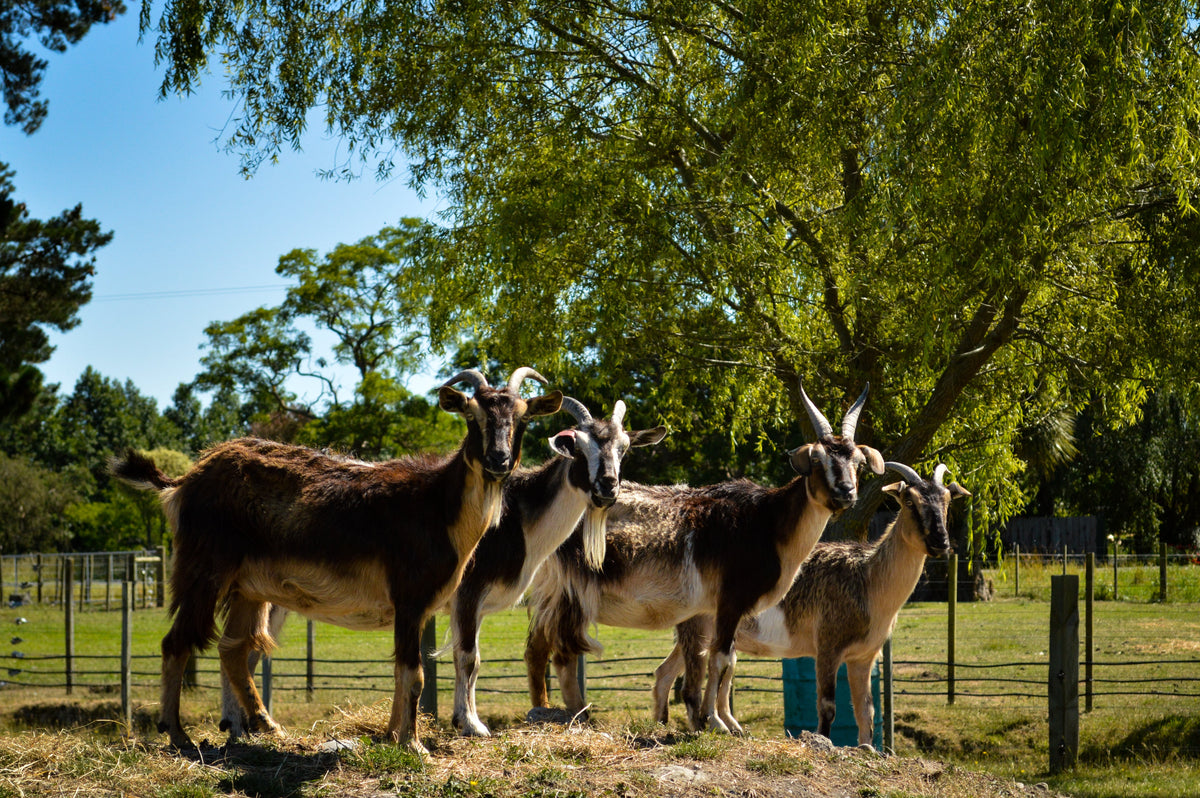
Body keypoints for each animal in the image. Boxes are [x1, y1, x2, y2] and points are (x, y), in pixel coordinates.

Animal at [112, 367, 562, 753]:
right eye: (472, 416)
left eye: (521, 418)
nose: (498, 460)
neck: (437, 505)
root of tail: (182, 481)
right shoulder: (410, 597)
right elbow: (414, 674)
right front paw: (413, 743)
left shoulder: (417, 609)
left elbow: (400, 671)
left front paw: (390, 735)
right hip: (203, 569)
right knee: (177, 642)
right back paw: (179, 735)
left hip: (247, 588)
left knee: (233, 650)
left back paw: (266, 725)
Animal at [524, 382, 884, 730]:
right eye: (818, 460)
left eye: (857, 462)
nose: (846, 492)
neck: (768, 522)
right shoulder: (730, 601)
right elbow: (721, 660)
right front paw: (715, 723)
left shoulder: (709, 610)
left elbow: (716, 660)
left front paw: (713, 721)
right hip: (570, 591)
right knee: (560, 653)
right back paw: (571, 715)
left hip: (552, 594)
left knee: (537, 649)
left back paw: (548, 710)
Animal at [655, 462, 970, 744]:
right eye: (910, 502)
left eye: (946, 501)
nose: (941, 542)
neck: (868, 581)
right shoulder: (828, 645)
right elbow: (828, 707)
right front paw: (823, 741)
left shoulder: (864, 656)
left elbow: (865, 712)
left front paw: (868, 748)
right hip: (698, 628)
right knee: (691, 683)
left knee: (665, 673)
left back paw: (666, 727)